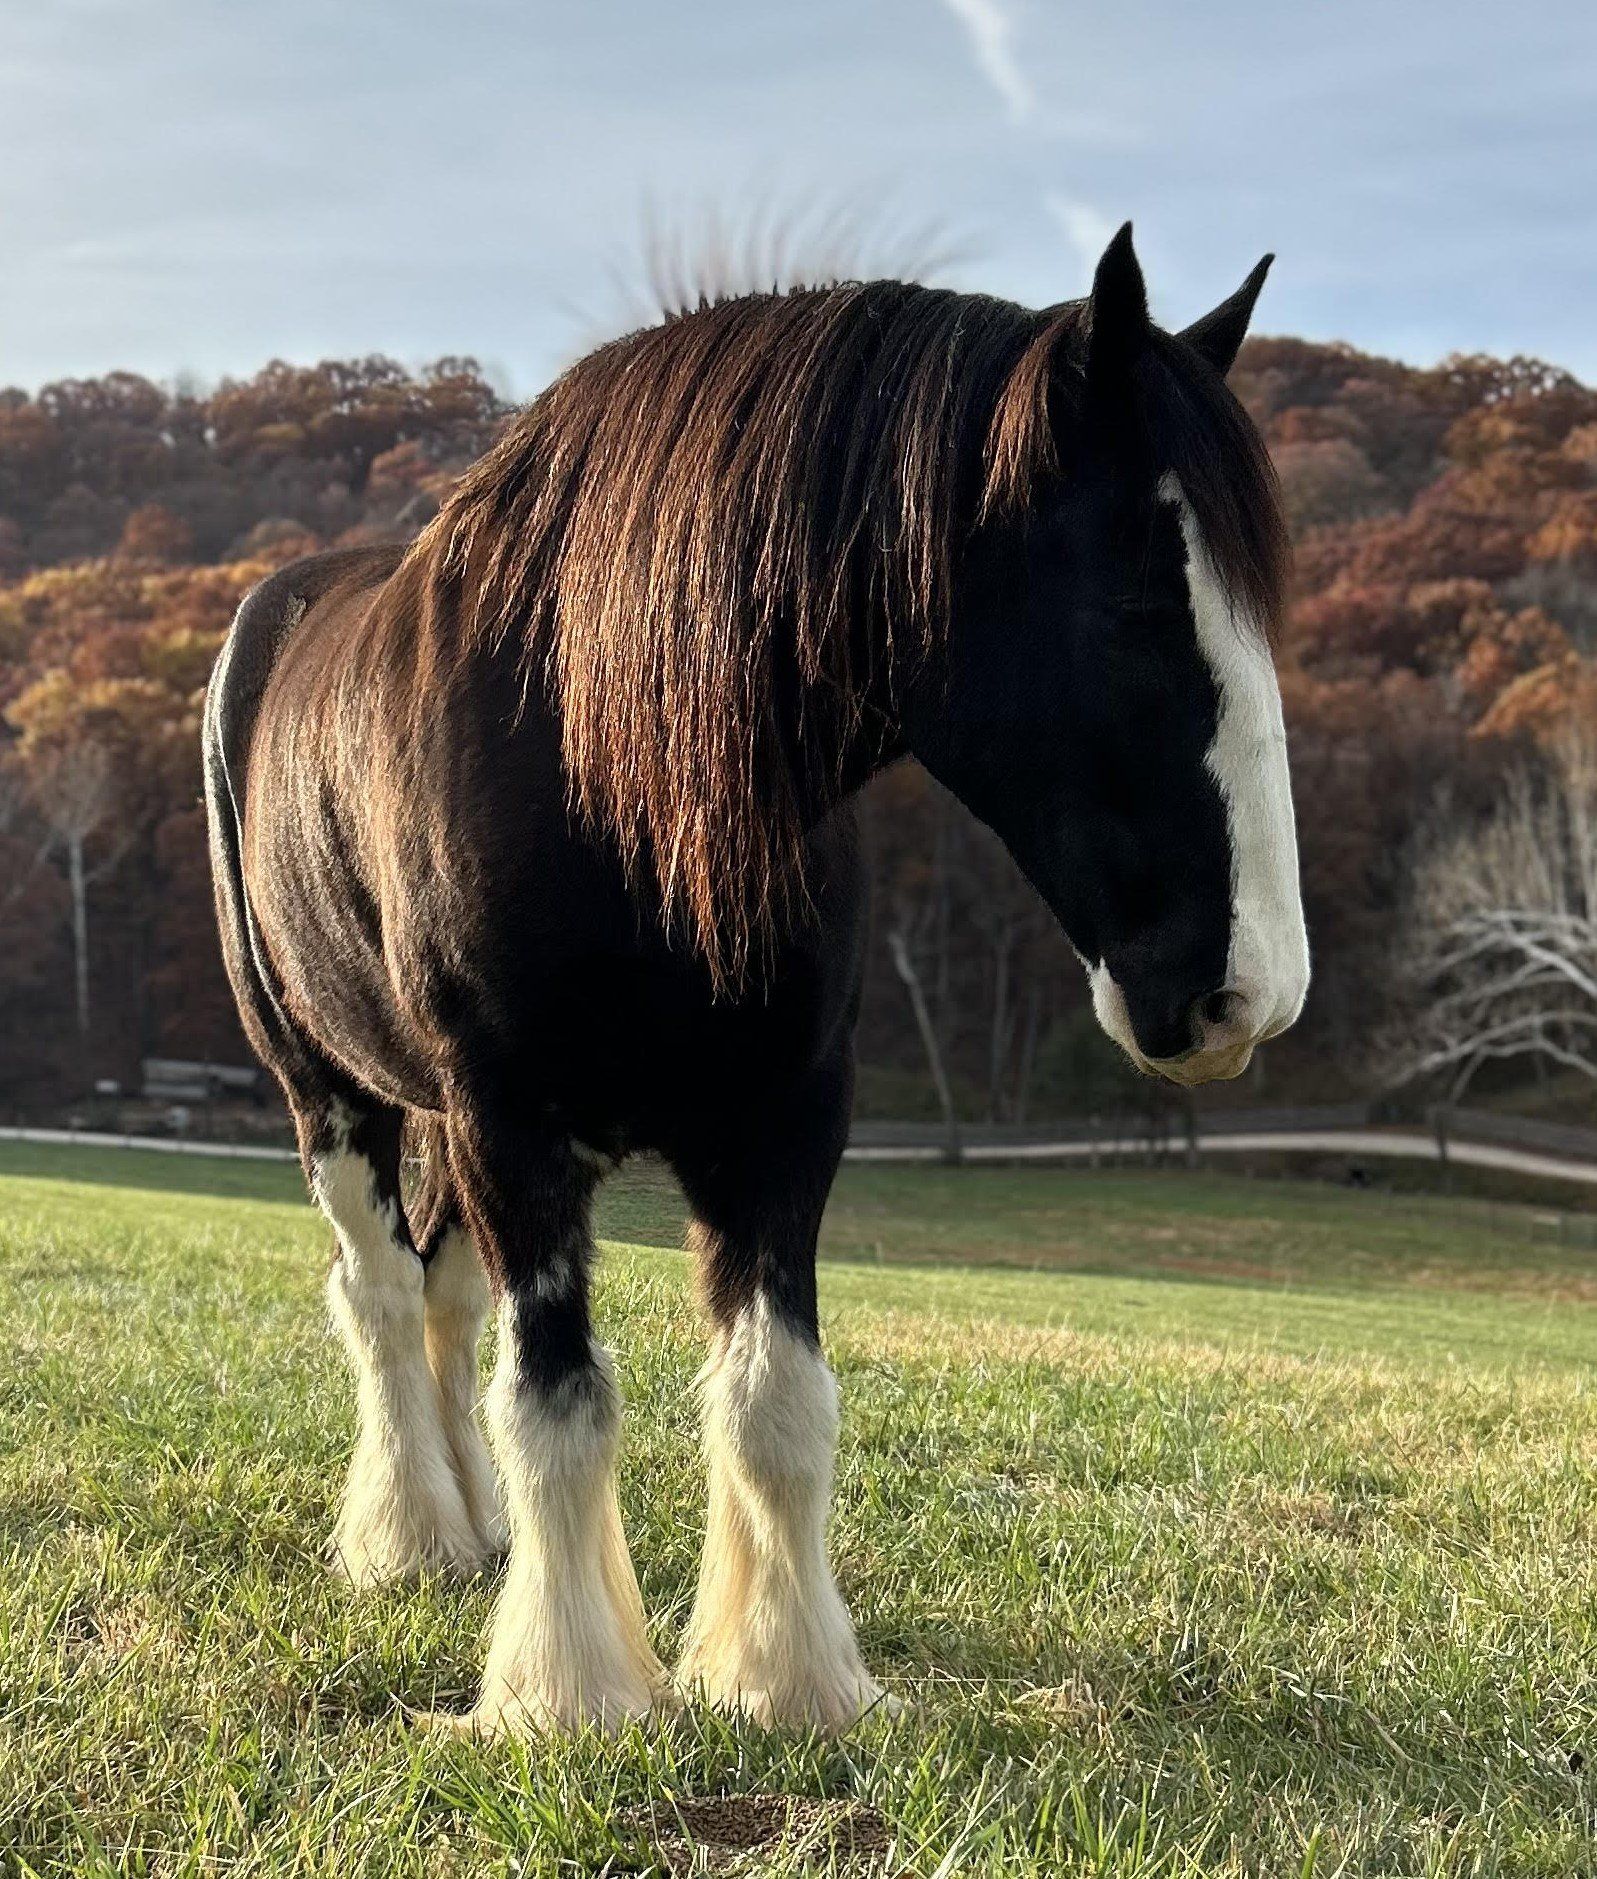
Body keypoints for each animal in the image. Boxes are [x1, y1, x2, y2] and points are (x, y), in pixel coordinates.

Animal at [203, 224, 1309, 1736]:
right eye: (1142, 599)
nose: (1250, 990)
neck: (593, 752)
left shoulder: (784, 1121)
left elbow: (774, 1399)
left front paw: (781, 1677)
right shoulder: (510, 1125)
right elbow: (559, 1403)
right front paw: (571, 1690)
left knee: (439, 1295)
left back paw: (472, 1536)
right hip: (332, 1092)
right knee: (377, 1297)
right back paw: (414, 1536)